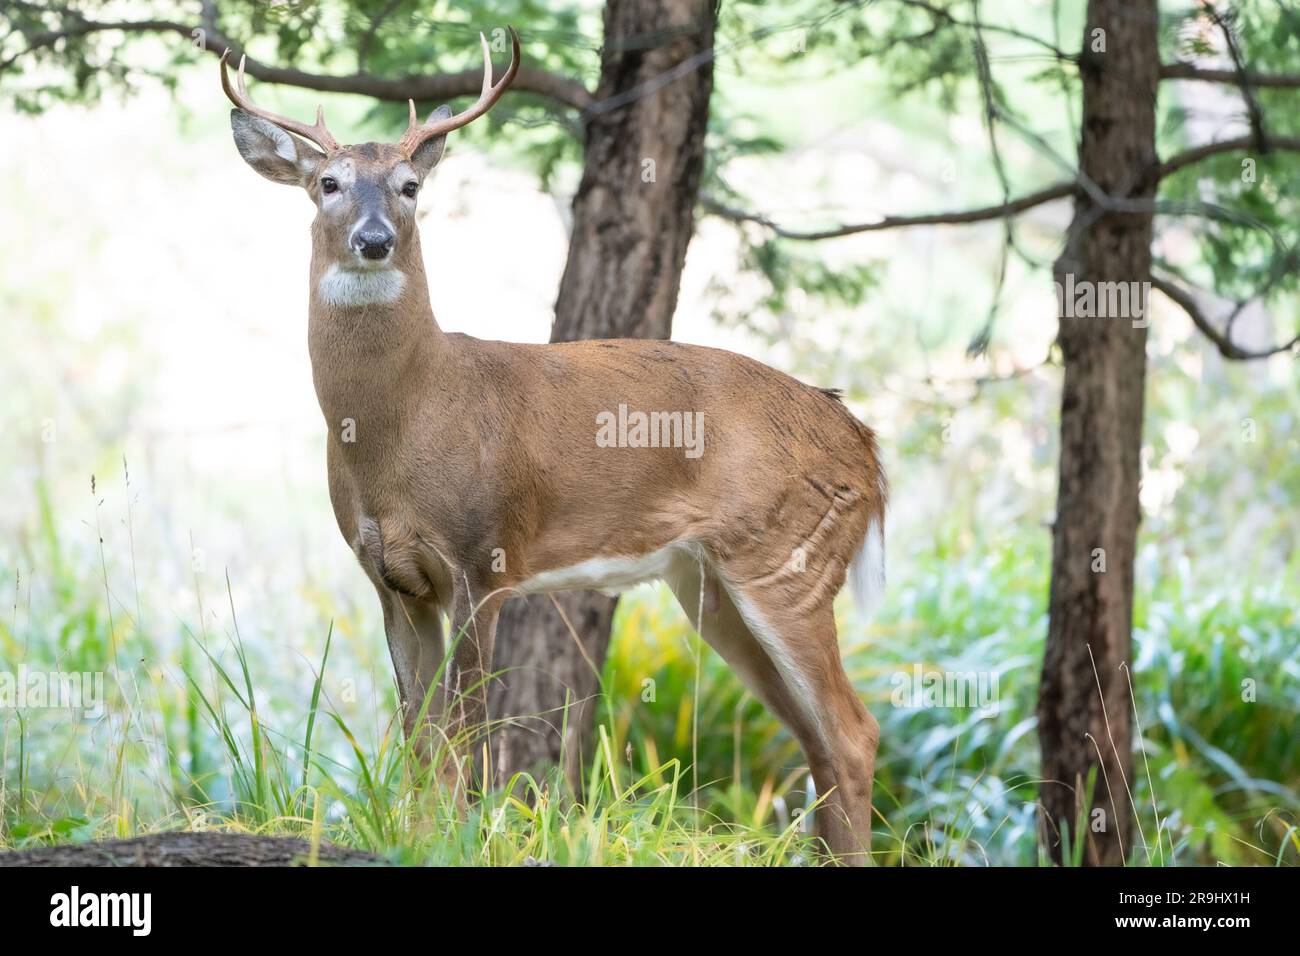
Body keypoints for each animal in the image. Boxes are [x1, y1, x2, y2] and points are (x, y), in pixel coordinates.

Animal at [219, 28, 888, 864]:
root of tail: (866, 445)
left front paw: (458, 836)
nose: (373, 240)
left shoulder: (482, 558)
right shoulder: (388, 577)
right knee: (817, 736)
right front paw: (417, 833)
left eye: (410, 186)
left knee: (852, 730)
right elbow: (416, 731)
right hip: (710, 580)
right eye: (329, 182)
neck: (404, 424)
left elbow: (463, 731)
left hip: (789, 560)